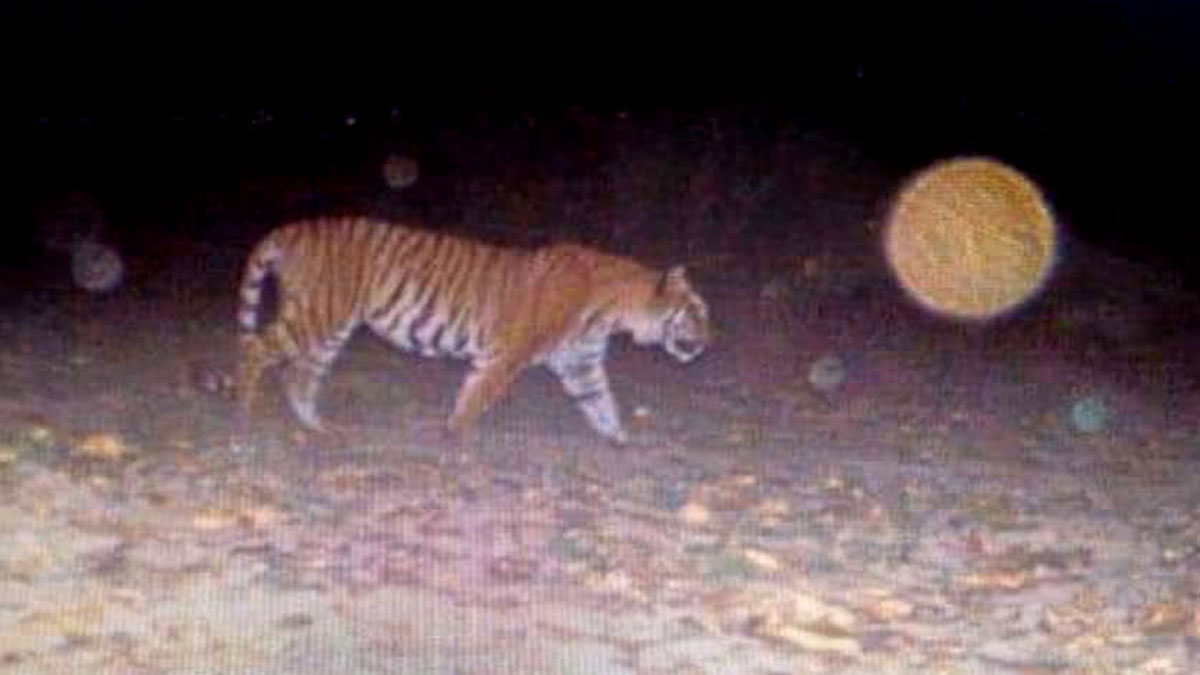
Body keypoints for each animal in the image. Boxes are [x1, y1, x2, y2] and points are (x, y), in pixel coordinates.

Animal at [235, 217, 711, 444]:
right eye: (697, 312)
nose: (710, 343)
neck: (616, 311)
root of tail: (291, 229)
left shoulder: (580, 362)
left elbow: (600, 401)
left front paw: (619, 437)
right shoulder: (509, 354)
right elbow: (477, 395)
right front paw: (456, 436)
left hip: (329, 328)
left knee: (299, 373)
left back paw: (314, 425)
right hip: (317, 313)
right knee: (258, 350)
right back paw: (246, 411)